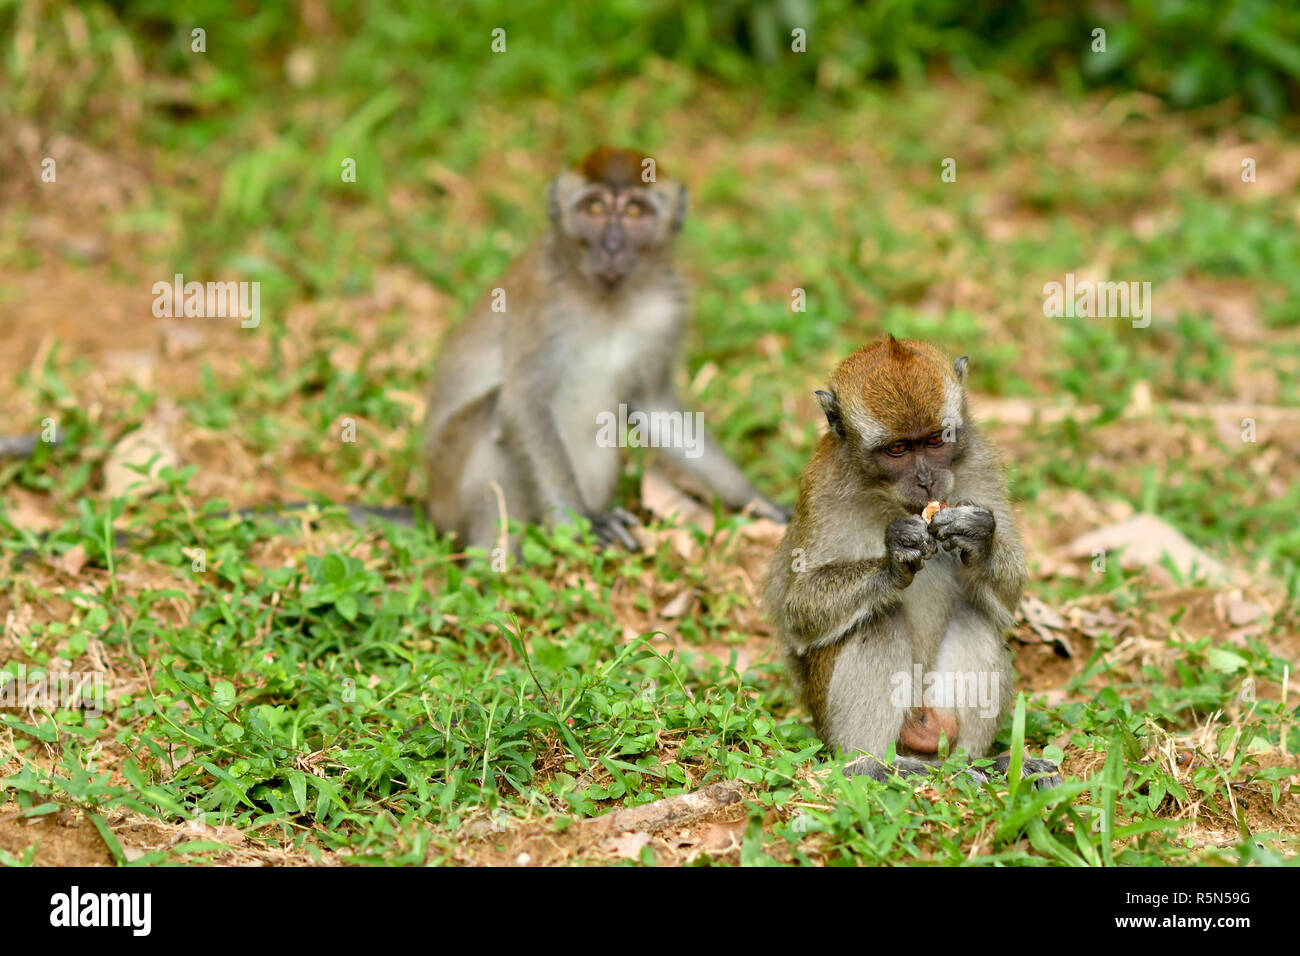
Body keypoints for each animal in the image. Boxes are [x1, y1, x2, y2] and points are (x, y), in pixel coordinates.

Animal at [423, 146, 787, 553]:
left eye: (635, 211)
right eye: (594, 208)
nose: (612, 247)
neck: (608, 298)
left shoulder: (669, 308)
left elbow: (652, 404)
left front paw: (752, 499)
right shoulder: (540, 299)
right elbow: (523, 404)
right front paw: (578, 521)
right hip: (450, 490)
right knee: (491, 415)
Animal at [763, 337, 1059, 788]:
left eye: (937, 440)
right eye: (898, 449)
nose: (926, 480)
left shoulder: (981, 462)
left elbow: (1007, 601)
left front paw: (978, 537)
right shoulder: (821, 487)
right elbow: (798, 610)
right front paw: (893, 560)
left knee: (974, 614)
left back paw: (974, 764)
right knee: (876, 622)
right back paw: (870, 764)